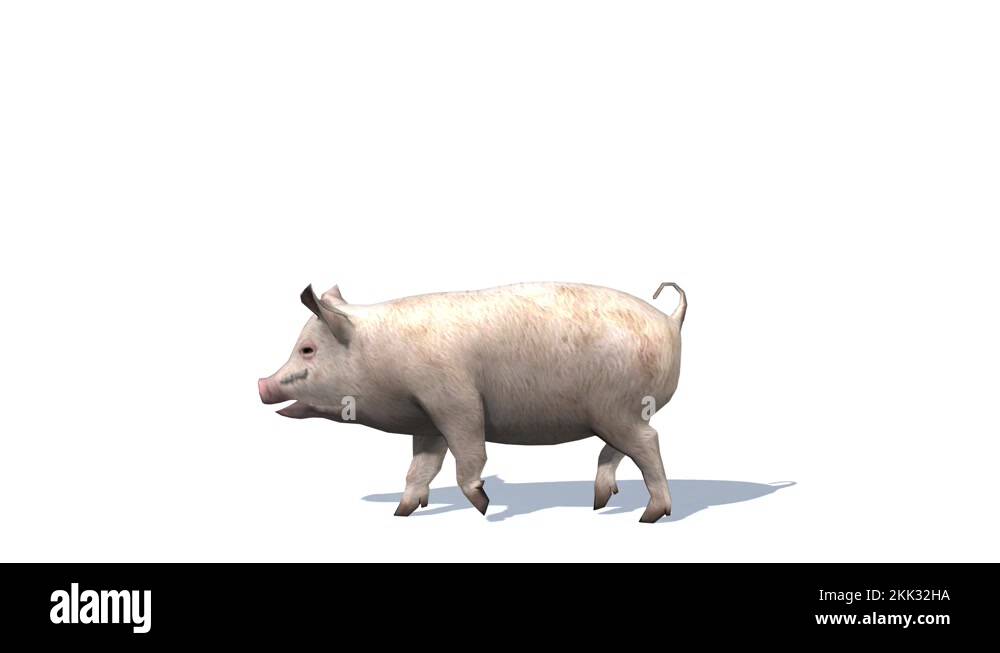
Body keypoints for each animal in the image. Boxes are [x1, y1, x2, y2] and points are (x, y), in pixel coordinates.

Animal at [258, 281, 686, 523]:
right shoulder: (427, 420)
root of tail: (670, 320)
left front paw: (483, 506)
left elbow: (469, 454)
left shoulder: (455, 399)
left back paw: (649, 517)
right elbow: (421, 468)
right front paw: (403, 512)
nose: (262, 384)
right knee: (619, 449)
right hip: (616, 413)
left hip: (617, 408)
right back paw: (600, 504)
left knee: (647, 443)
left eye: (308, 350)